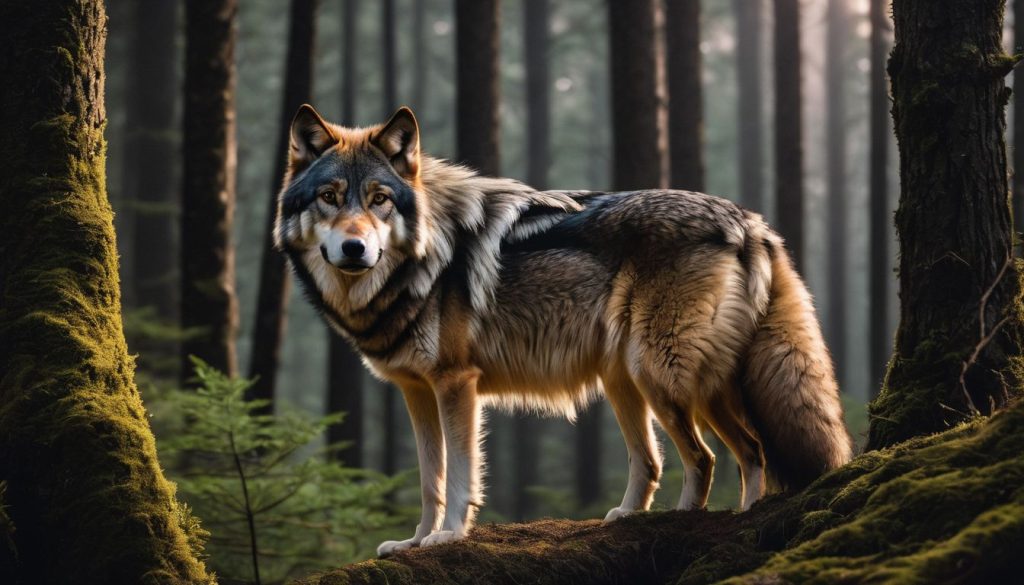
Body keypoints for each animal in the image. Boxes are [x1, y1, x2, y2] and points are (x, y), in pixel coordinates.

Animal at [274, 104, 853, 556]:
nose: (354, 249)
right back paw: (653, 518)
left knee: (709, 457)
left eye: (379, 199)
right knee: (703, 457)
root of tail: (749, 222)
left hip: (662, 376)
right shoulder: (416, 393)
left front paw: (448, 537)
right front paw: (415, 541)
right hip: (646, 383)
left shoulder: (457, 385)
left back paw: (687, 522)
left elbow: (460, 476)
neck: (424, 258)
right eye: (330, 197)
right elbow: (429, 480)